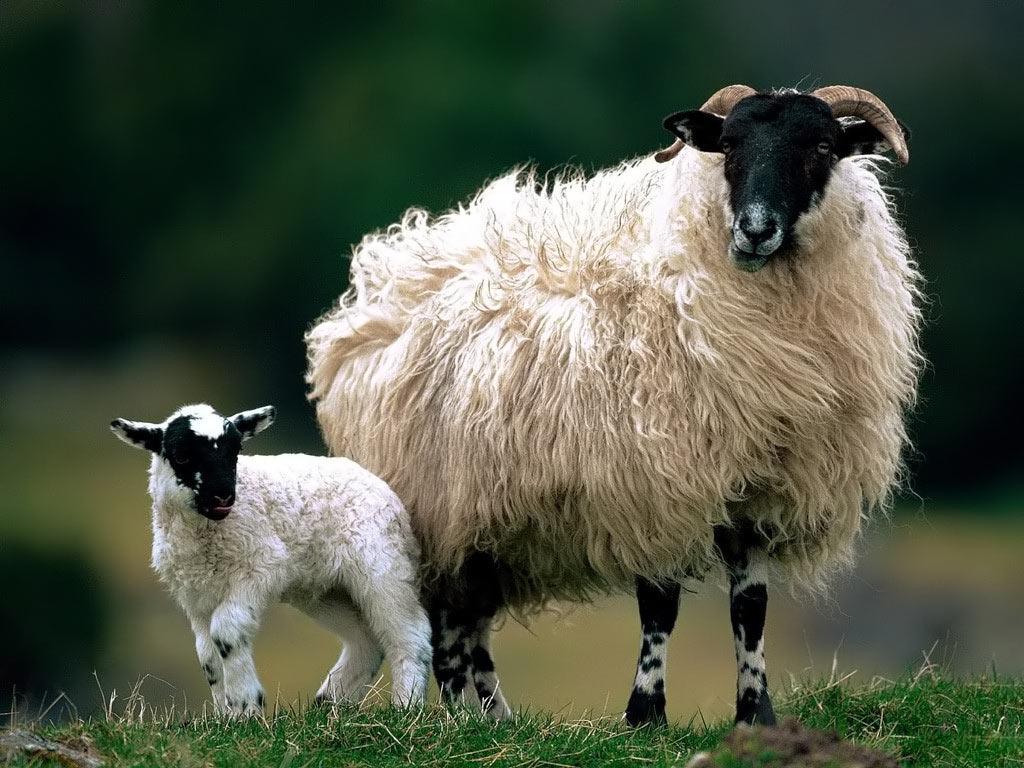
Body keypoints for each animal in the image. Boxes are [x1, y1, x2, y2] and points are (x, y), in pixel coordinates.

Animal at [110, 403, 432, 716]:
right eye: (181, 455)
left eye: (235, 450)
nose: (223, 496)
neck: (205, 536)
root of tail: (386, 490)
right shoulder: (195, 596)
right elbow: (207, 655)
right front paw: (223, 715)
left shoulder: (260, 566)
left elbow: (226, 632)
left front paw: (246, 706)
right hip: (326, 589)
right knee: (365, 639)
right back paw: (328, 705)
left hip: (382, 565)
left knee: (411, 634)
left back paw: (405, 707)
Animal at [305, 84, 923, 726]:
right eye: (728, 146)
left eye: (823, 146)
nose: (754, 229)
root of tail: (383, 275)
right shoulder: (651, 482)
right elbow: (660, 606)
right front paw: (645, 713)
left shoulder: (758, 493)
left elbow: (750, 609)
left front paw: (756, 714)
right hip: (441, 507)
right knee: (449, 623)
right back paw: (461, 718)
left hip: (487, 520)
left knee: (470, 622)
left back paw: (499, 717)